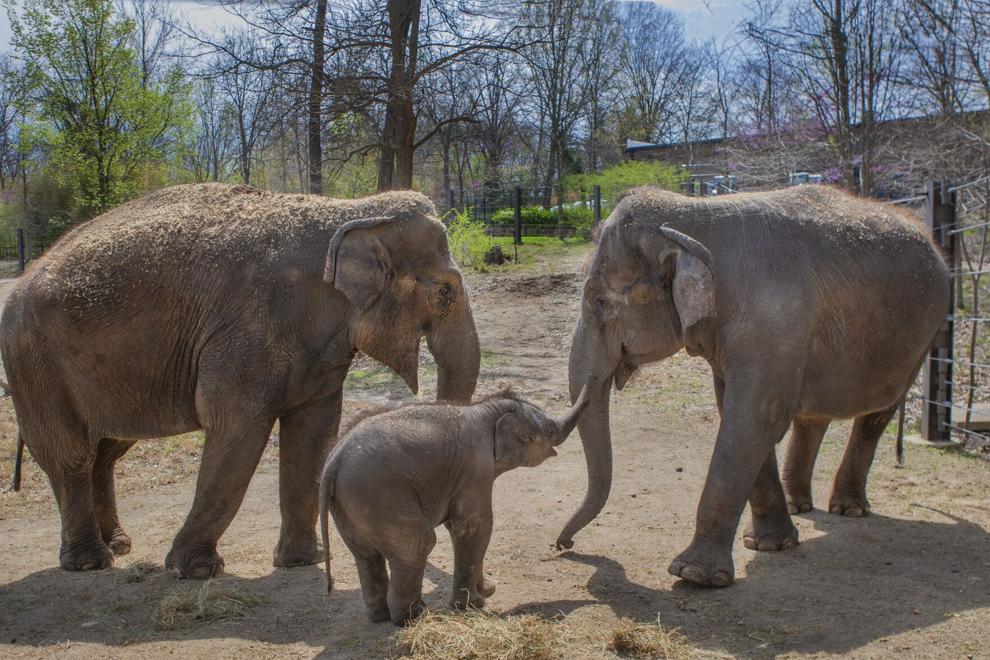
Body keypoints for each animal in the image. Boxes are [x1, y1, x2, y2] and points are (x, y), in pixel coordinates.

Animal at [0, 183, 480, 578]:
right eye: (445, 292)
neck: (349, 210)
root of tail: (22, 279)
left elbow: (313, 434)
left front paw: (302, 561)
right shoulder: (248, 330)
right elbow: (238, 430)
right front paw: (193, 571)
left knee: (107, 449)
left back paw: (118, 546)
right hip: (34, 363)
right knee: (70, 454)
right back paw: (89, 562)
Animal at [320, 382, 591, 625]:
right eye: (550, 431)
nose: (594, 378)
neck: (486, 408)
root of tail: (332, 463)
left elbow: (461, 528)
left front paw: (488, 591)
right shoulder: (475, 468)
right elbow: (475, 527)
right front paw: (473, 605)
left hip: (350, 506)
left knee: (365, 555)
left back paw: (380, 617)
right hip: (381, 497)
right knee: (419, 543)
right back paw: (415, 617)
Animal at [559, 185, 950, 587]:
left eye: (601, 302)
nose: (564, 545)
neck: (693, 214)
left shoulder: (774, 322)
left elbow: (754, 417)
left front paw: (694, 575)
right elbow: (738, 412)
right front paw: (768, 545)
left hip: (925, 336)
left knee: (876, 416)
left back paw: (848, 510)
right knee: (813, 415)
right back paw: (800, 506)